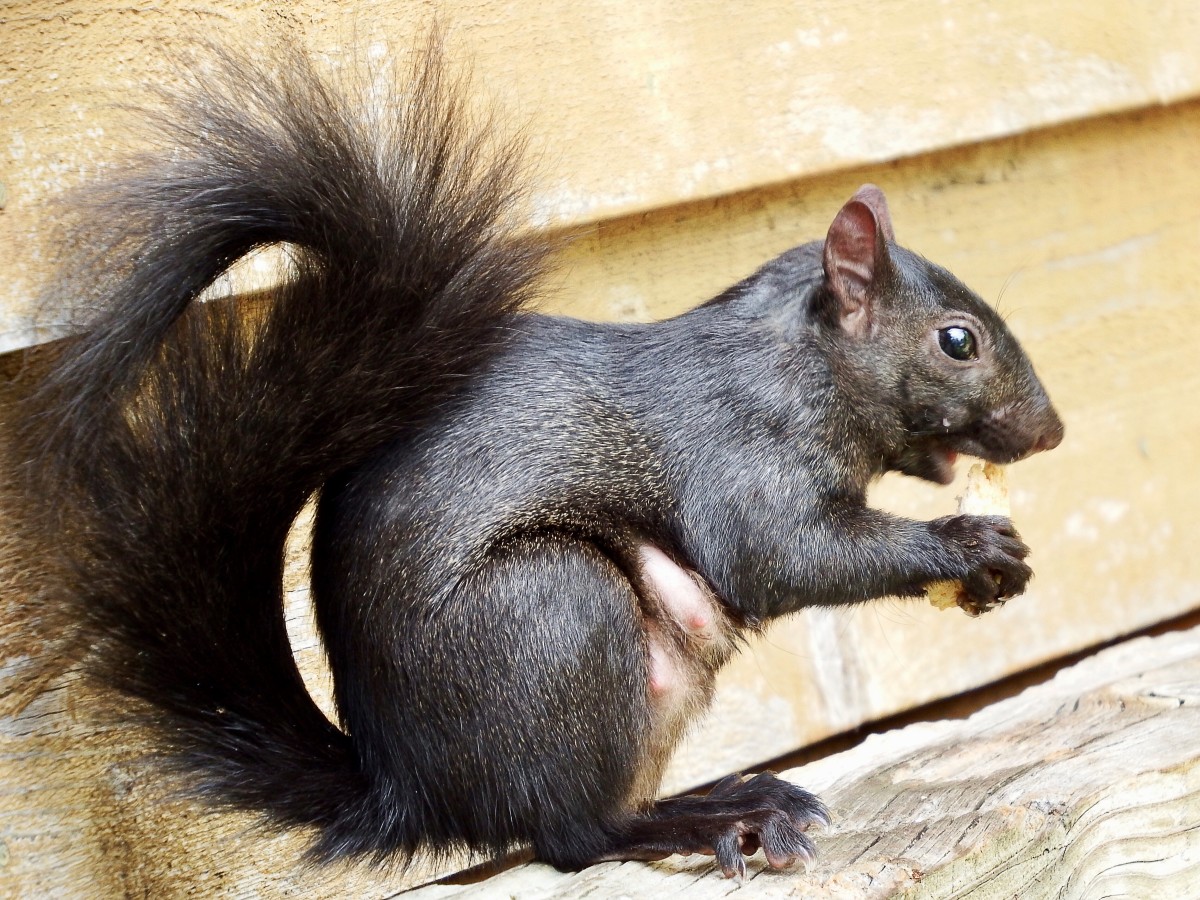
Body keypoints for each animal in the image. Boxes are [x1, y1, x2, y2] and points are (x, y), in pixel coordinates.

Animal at [9, 40, 1063, 879]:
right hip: (556, 615)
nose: (1049, 432)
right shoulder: (741, 452)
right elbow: (783, 556)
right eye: (957, 340)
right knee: (568, 837)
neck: (797, 362)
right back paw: (719, 817)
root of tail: (414, 796)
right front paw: (969, 547)